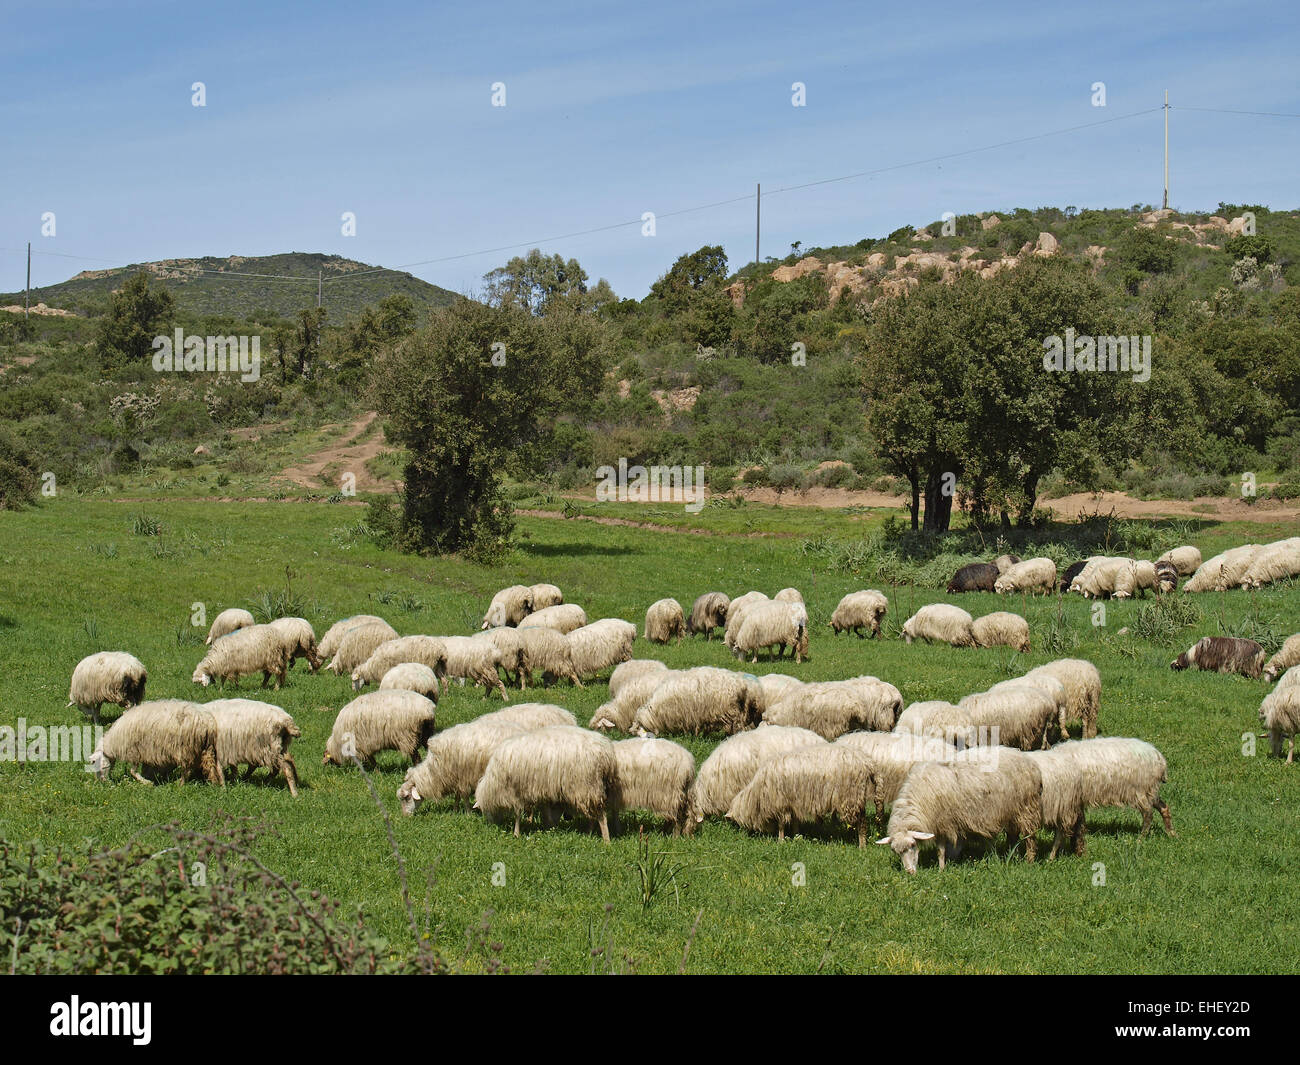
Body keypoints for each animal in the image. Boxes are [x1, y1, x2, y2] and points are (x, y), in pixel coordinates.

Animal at [88, 700, 224, 786]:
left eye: (95, 763)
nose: (103, 782)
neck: (113, 743)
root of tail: (208, 722)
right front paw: (151, 777)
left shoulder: (134, 751)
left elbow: (133, 771)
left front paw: (147, 782)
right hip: (207, 747)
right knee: (211, 765)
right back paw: (216, 784)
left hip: (185, 747)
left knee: (187, 768)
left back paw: (180, 784)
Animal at [398, 718, 529, 815]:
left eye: (407, 797)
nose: (405, 816)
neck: (434, 770)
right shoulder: (455, 777)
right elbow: (457, 795)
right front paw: (455, 810)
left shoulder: (464, 776)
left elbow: (464, 795)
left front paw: (468, 812)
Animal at [473, 725, 619, 842]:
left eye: (484, 810)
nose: (491, 826)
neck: (494, 782)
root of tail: (607, 753)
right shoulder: (542, 788)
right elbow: (546, 811)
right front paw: (549, 828)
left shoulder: (516, 791)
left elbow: (518, 813)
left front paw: (516, 833)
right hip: (590, 788)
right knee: (593, 814)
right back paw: (588, 834)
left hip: (586, 785)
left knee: (600, 815)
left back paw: (606, 840)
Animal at [725, 745, 880, 846]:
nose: (740, 836)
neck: (757, 797)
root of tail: (867, 762)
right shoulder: (793, 803)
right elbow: (795, 821)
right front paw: (796, 835)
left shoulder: (780, 803)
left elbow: (781, 824)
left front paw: (780, 841)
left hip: (851, 796)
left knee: (862, 822)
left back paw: (862, 846)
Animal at [877, 748, 1042, 872]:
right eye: (895, 851)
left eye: (912, 845)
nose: (910, 872)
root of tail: (1029, 761)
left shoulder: (943, 823)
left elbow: (941, 850)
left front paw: (941, 869)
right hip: (1012, 811)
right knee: (1013, 836)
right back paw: (1012, 856)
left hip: (1027, 808)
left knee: (1030, 837)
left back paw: (1029, 860)